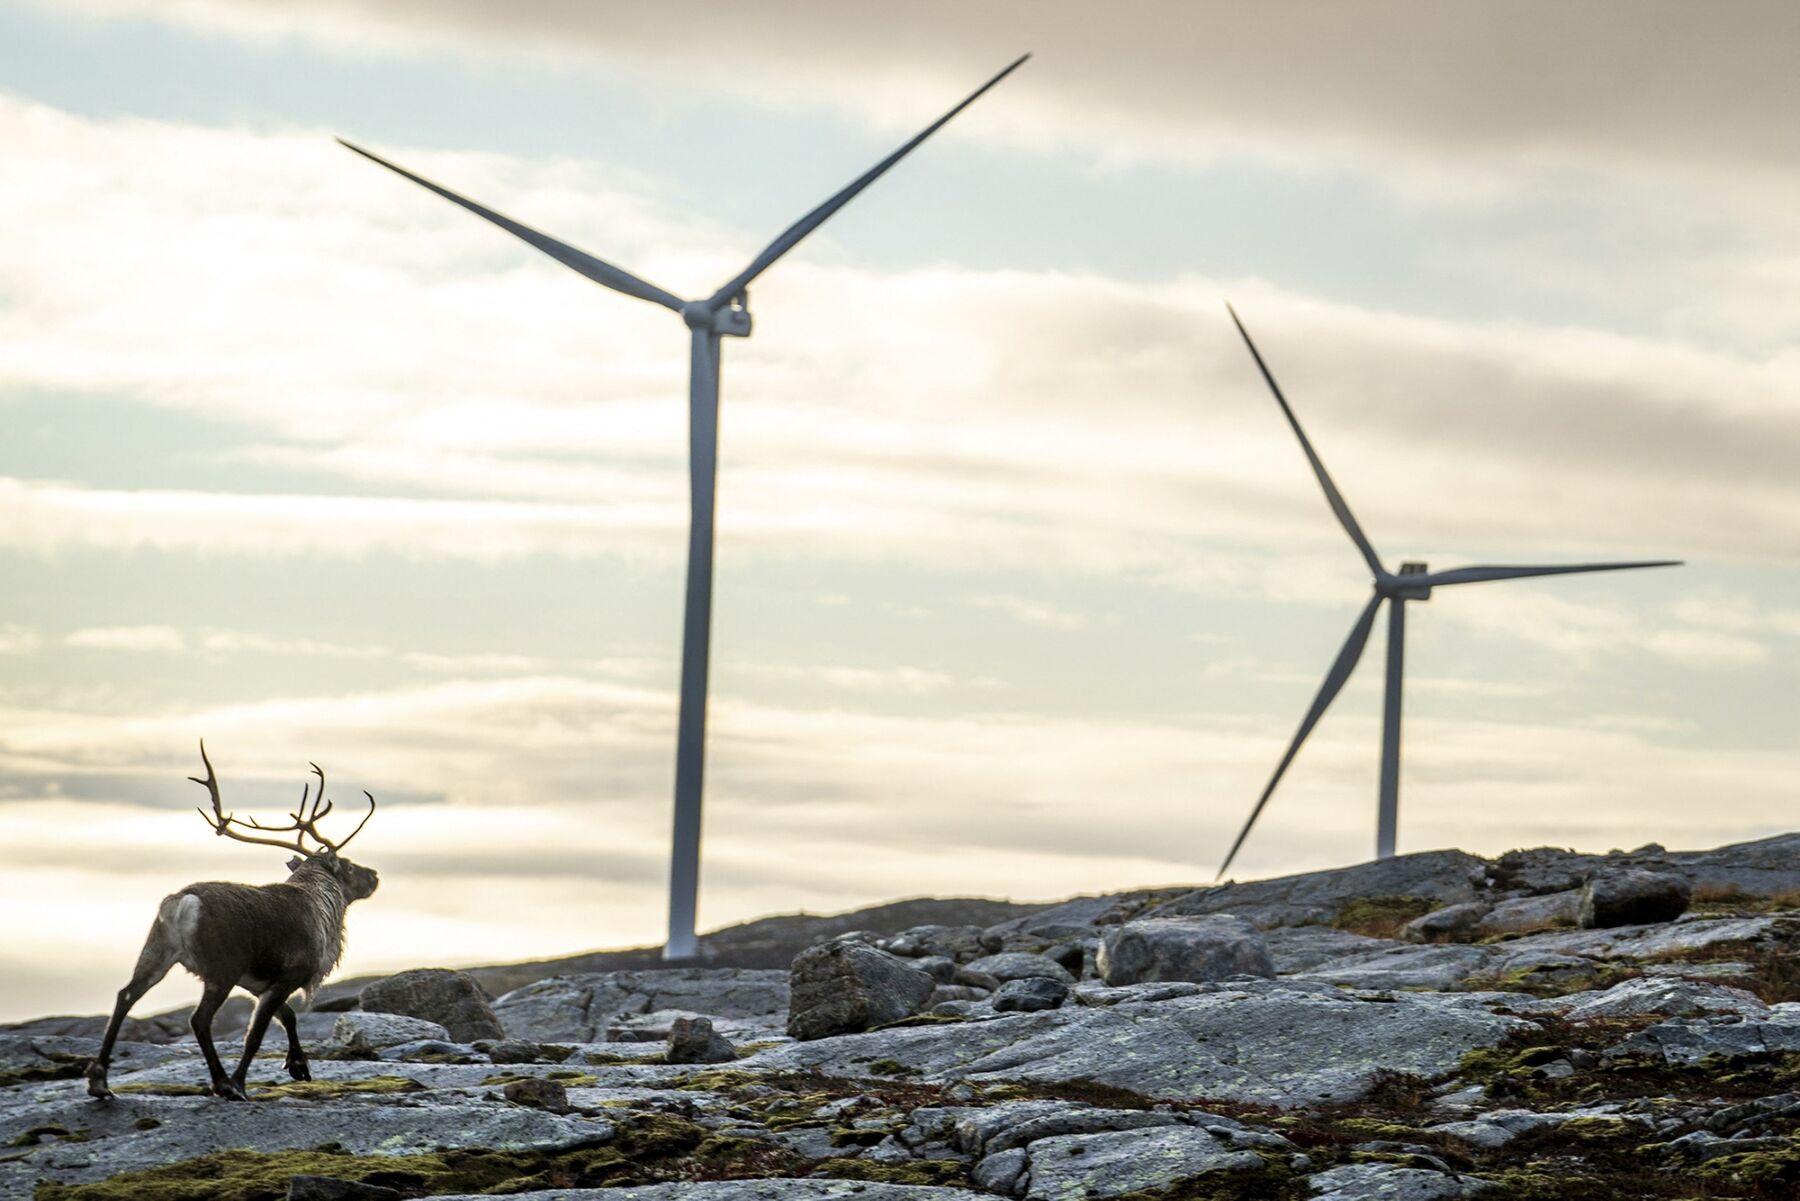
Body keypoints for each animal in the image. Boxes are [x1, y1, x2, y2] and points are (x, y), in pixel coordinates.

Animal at [86, 741, 380, 1102]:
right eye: (349, 867)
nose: (374, 875)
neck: (323, 903)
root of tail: (184, 902)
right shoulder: (288, 974)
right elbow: (256, 1033)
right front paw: (242, 1082)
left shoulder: (256, 981)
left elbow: (288, 1017)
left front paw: (299, 1066)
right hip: (220, 968)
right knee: (199, 1019)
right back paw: (225, 1084)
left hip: (157, 950)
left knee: (125, 995)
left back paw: (99, 1081)